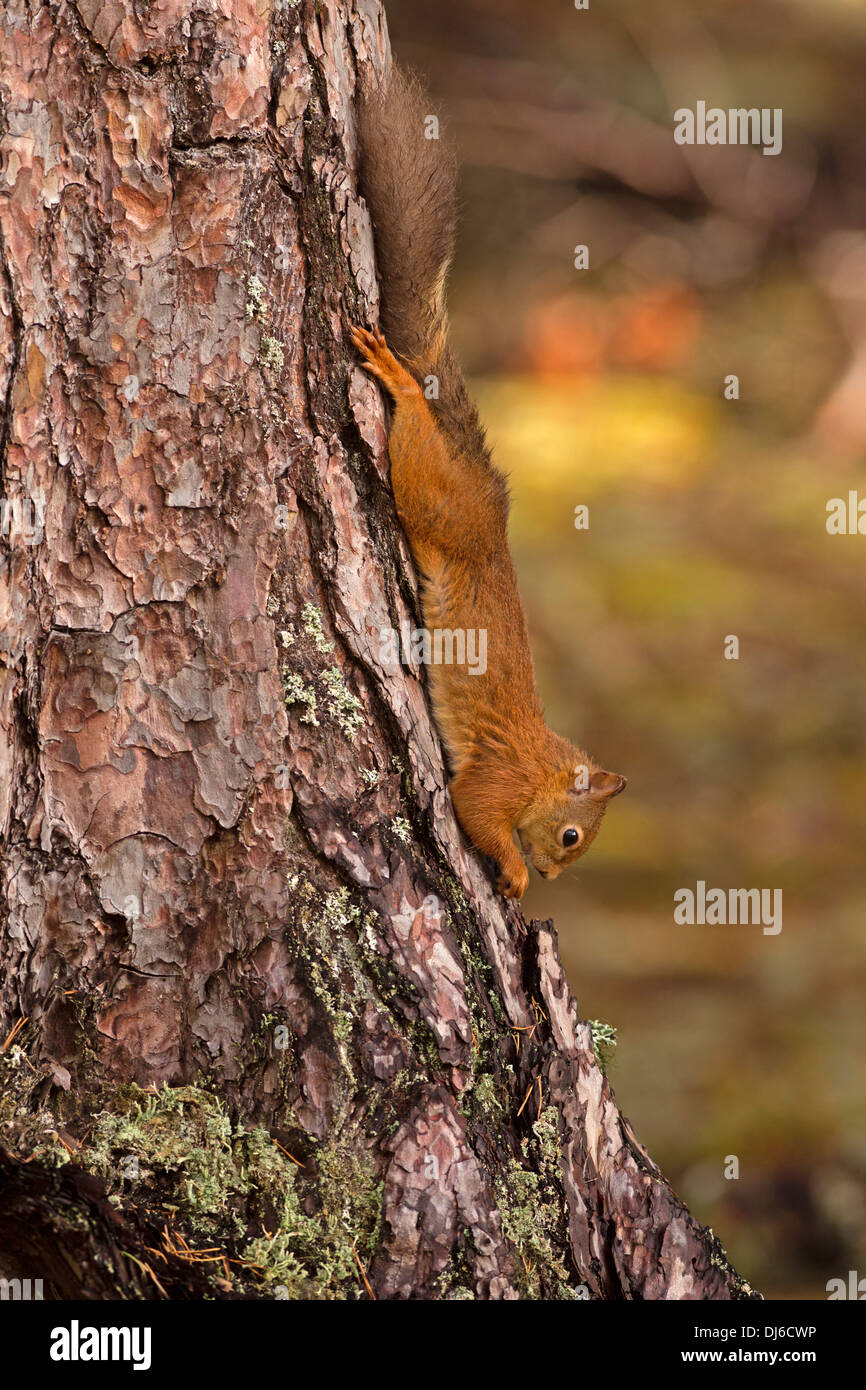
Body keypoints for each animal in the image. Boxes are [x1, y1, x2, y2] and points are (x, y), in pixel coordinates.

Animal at [351, 67, 626, 899]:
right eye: (571, 837)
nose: (555, 874)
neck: (543, 764)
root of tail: (488, 496)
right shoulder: (497, 781)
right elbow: (474, 810)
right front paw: (511, 873)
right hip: (434, 498)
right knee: (414, 439)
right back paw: (400, 384)